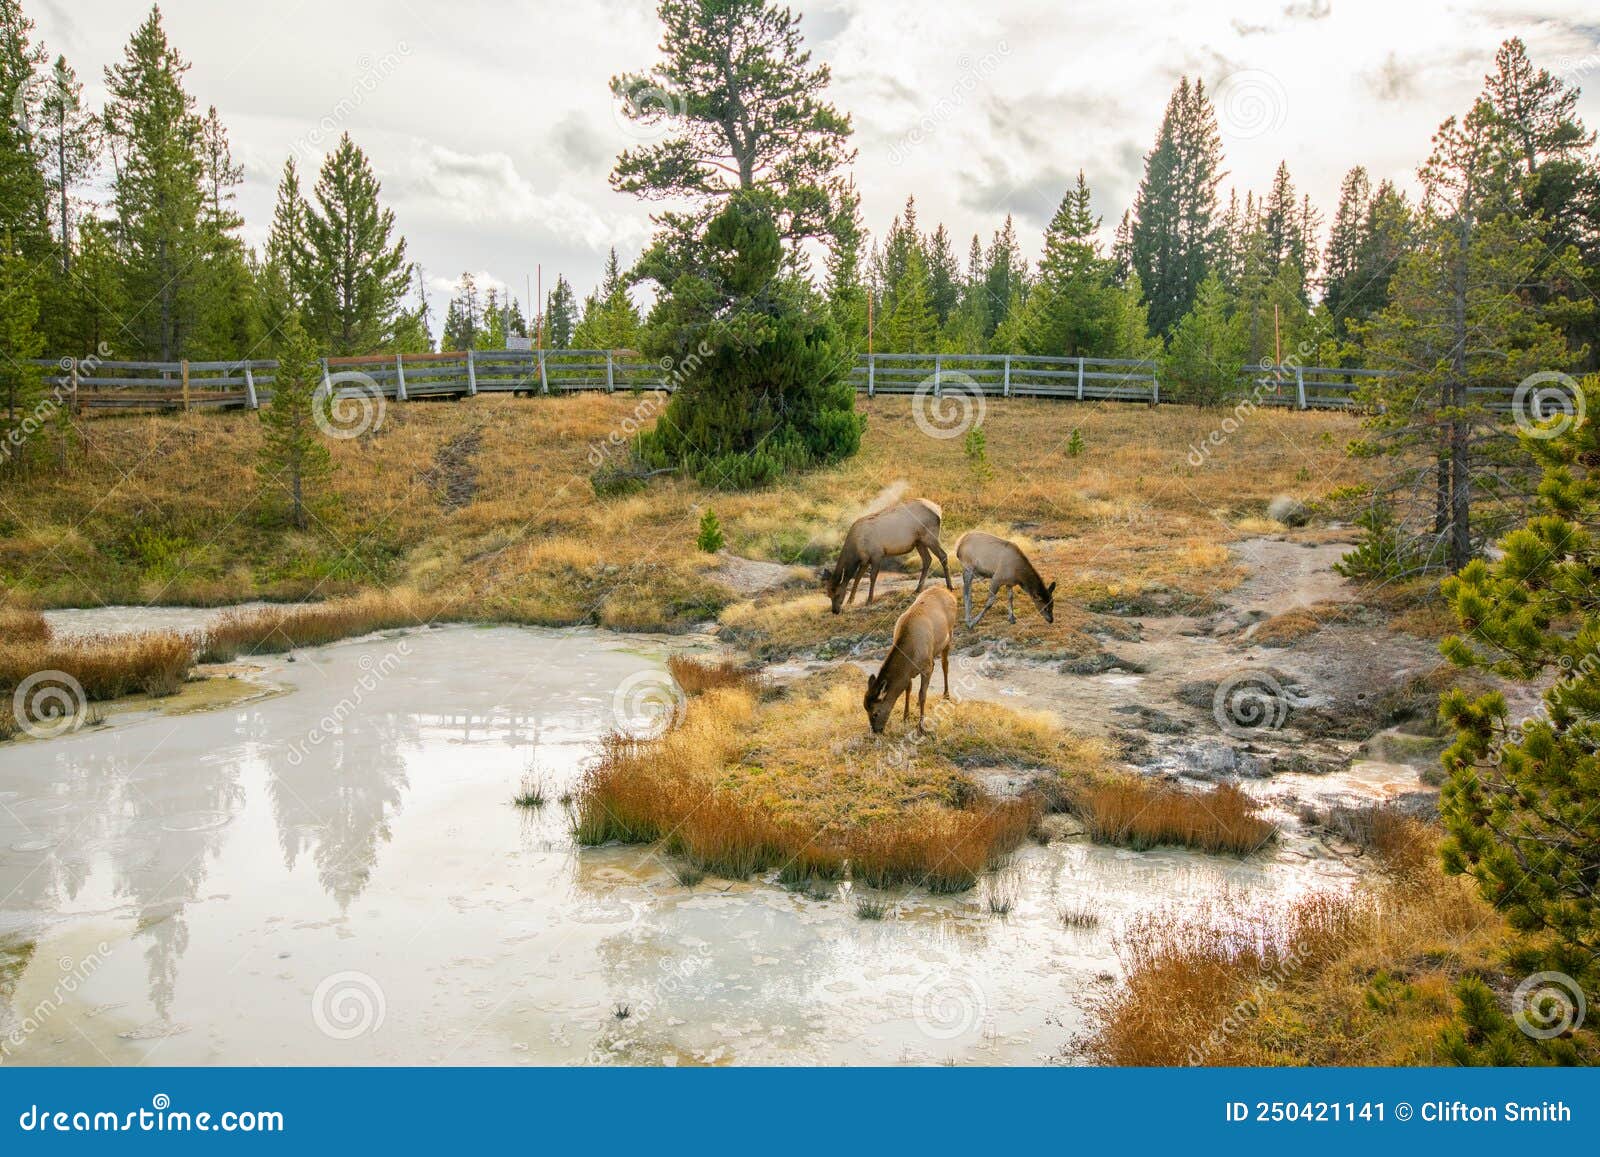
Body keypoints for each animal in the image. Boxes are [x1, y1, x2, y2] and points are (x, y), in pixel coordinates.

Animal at [822, 498, 951, 614]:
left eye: (837, 594)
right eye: (828, 594)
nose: (834, 611)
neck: (855, 549)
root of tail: (938, 509)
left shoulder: (877, 554)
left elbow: (872, 577)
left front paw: (869, 600)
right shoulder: (865, 560)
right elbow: (857, 578)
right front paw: (850, 600)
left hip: (930, 537)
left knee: (943, 555)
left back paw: (949, 586)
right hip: (919, 542)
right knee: (927, 560)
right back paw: (917, 589)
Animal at [863, 587, 958, 734]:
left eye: (875, 713)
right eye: (865, 710)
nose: (876, 731)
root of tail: (948, 591)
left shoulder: (926, 669)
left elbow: (922, 695)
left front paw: (921, 726)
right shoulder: (909, 672)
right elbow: (908, 689)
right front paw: (905, 716)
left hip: (949, 635)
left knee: (945, 665)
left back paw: (946, 695)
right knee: (935, 663)